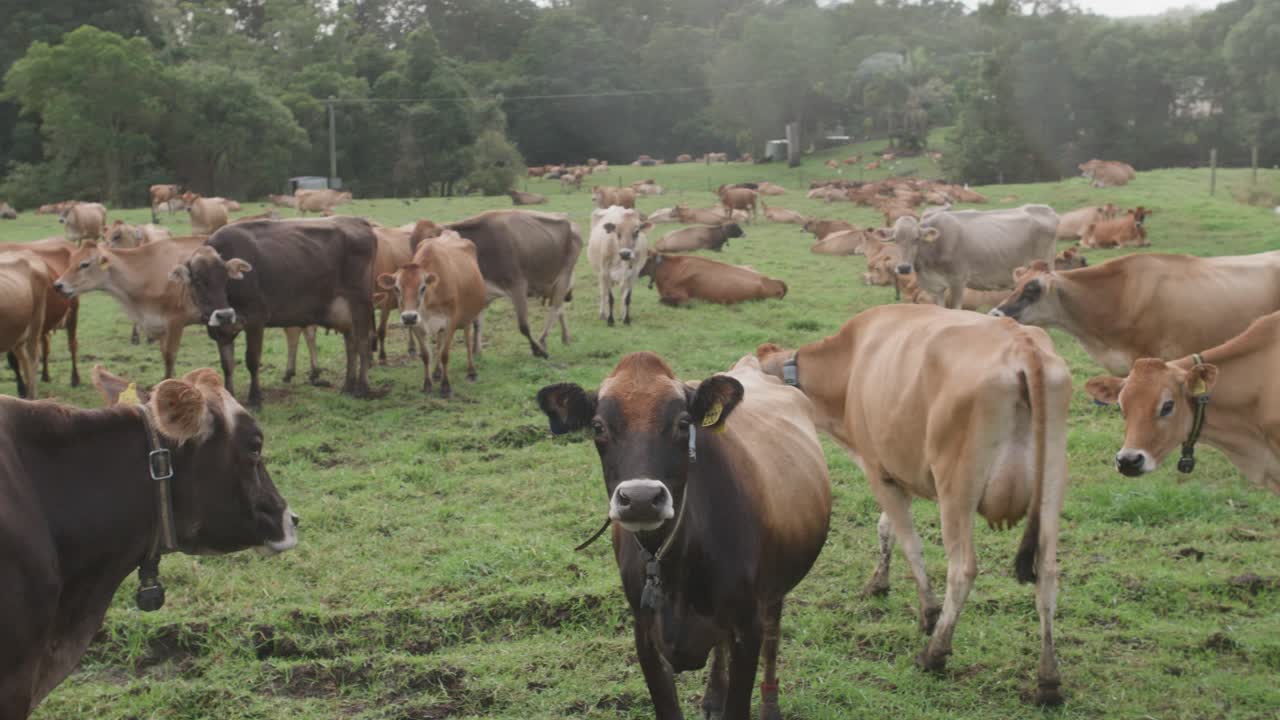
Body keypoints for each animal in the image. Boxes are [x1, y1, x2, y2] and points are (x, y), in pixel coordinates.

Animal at [172, 218, 376, 408]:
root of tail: (357, 221)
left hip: (361, 303)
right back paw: (348, 387)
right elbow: (227, 365)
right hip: (344, 313)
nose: (225, 315)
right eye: (197, 280)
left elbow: (252, 360)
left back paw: (362, 388)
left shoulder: (256, 319)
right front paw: (230, 396)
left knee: (363, 343)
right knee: (351, 344)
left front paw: (255, 399)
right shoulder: (221, 331)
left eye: (225, 278)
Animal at [377, 231, 486, 397]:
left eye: (423, 288)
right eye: (396, 288)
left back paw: (471, 371)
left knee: (467, 341)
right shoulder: (418, 325)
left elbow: (445, 354)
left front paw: (446, 387)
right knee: (439, 343)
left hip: (468, 315)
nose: (409, 317)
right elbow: (426, 355)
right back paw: (437, 372)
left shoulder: (451, 322)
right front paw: (427, 384)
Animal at [536, 352, 831, 720]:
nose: (641, 498)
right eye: (598, 427)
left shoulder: (747, 626)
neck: (673, 563)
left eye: (683, 423)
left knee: (773, 635)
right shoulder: (644, 634)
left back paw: (770, 705)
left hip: (775, 587)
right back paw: (714, 695)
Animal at [756, 303, 1071, 705]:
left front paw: (928, 613)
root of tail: (1022, 342)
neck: (848, 365)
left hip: (957, 487)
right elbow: (885, 527)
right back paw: (1048, 680)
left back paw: (935, 653)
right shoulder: (896, 471)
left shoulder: (878, 469)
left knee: (963, 569)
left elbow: (909, 541)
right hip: (1051, 486)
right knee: (1046, 574)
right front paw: (878, 583)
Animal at [887, 205, 1059, 310]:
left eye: (916, 239)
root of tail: (1044, 209)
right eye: (895, 239)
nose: (903, 268)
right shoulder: (935, 287)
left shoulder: (958, 280)